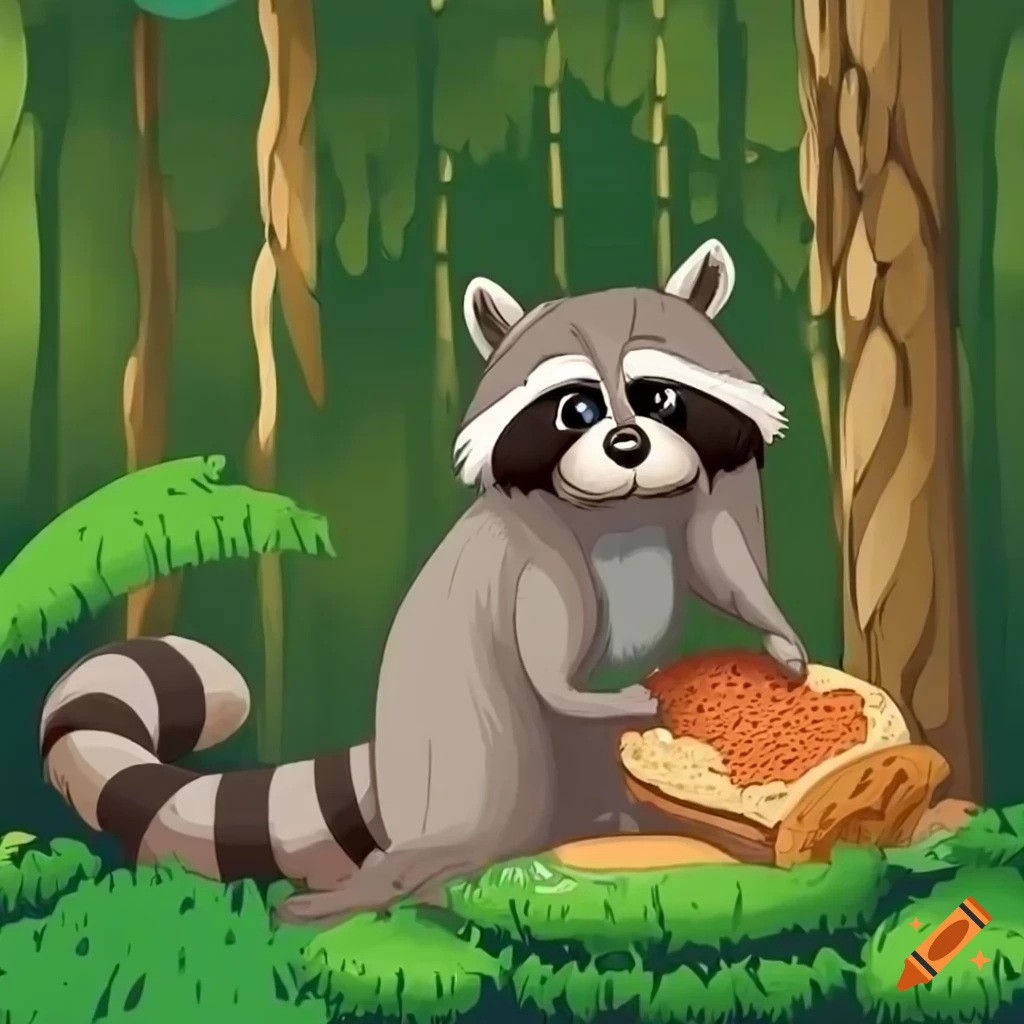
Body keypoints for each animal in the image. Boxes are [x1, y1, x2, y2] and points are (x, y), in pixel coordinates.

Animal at [40, 239, 806, 926]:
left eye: (659, 399)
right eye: (576, 411)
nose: (629, 446)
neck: (626, 507)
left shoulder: (702, 501)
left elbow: (722, 565)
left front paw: (777, 633)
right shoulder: (532, 555)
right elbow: (544, 650)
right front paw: (583, 693)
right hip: (463, 743)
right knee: (497, 791)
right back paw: (403, 881)